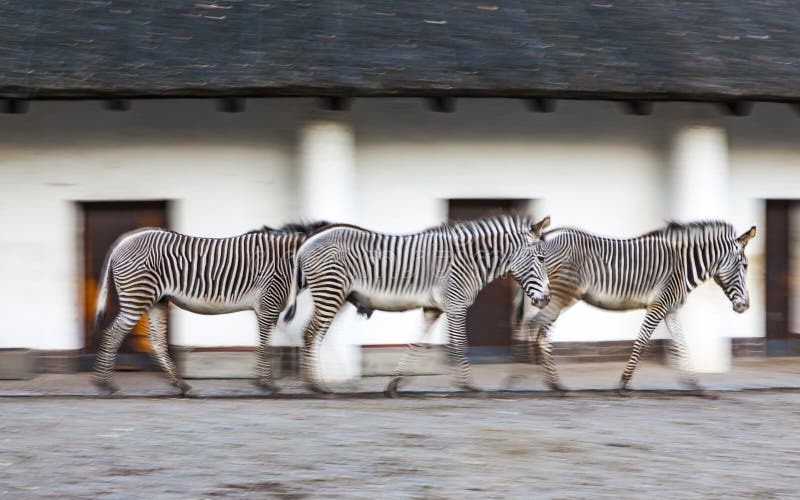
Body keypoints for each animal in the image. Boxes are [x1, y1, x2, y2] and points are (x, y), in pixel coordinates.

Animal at [91, 221, 329, 396]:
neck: (289, 262)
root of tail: (124, 241)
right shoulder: (268, 304)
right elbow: (266, 346)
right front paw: (267, 384)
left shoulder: (265, 309)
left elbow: (265, 344)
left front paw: (265, 381)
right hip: (138, 296)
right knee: (113, 333)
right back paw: (105, 384)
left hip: (156, 301)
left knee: (156, 342)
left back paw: (183, 386)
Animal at [283, 214, 552, 395]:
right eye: (541, 258)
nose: (547, 299)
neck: (468, 262)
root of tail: (309, 240)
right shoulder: (455, 305)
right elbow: (460, 344)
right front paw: (467, 385)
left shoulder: (434, 309)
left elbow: (417, 343)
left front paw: (394, 384)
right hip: (330, 292)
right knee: (309, 333)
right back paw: (315, 386)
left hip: (335, 296)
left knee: (314, 334)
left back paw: (315, 382)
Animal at [513, 220, 756, 394]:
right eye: (745, 265)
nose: (745, 306)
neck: (683, 266)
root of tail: (543, 241)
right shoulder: (658, 306)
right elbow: (641, 341)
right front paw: (623, 382)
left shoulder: (671, 310)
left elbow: (681, 344)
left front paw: (693, 384)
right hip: (561, 296)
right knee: (534, 326)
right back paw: (521, 378)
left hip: (561, 297)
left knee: (541, 332)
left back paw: (553, 383)